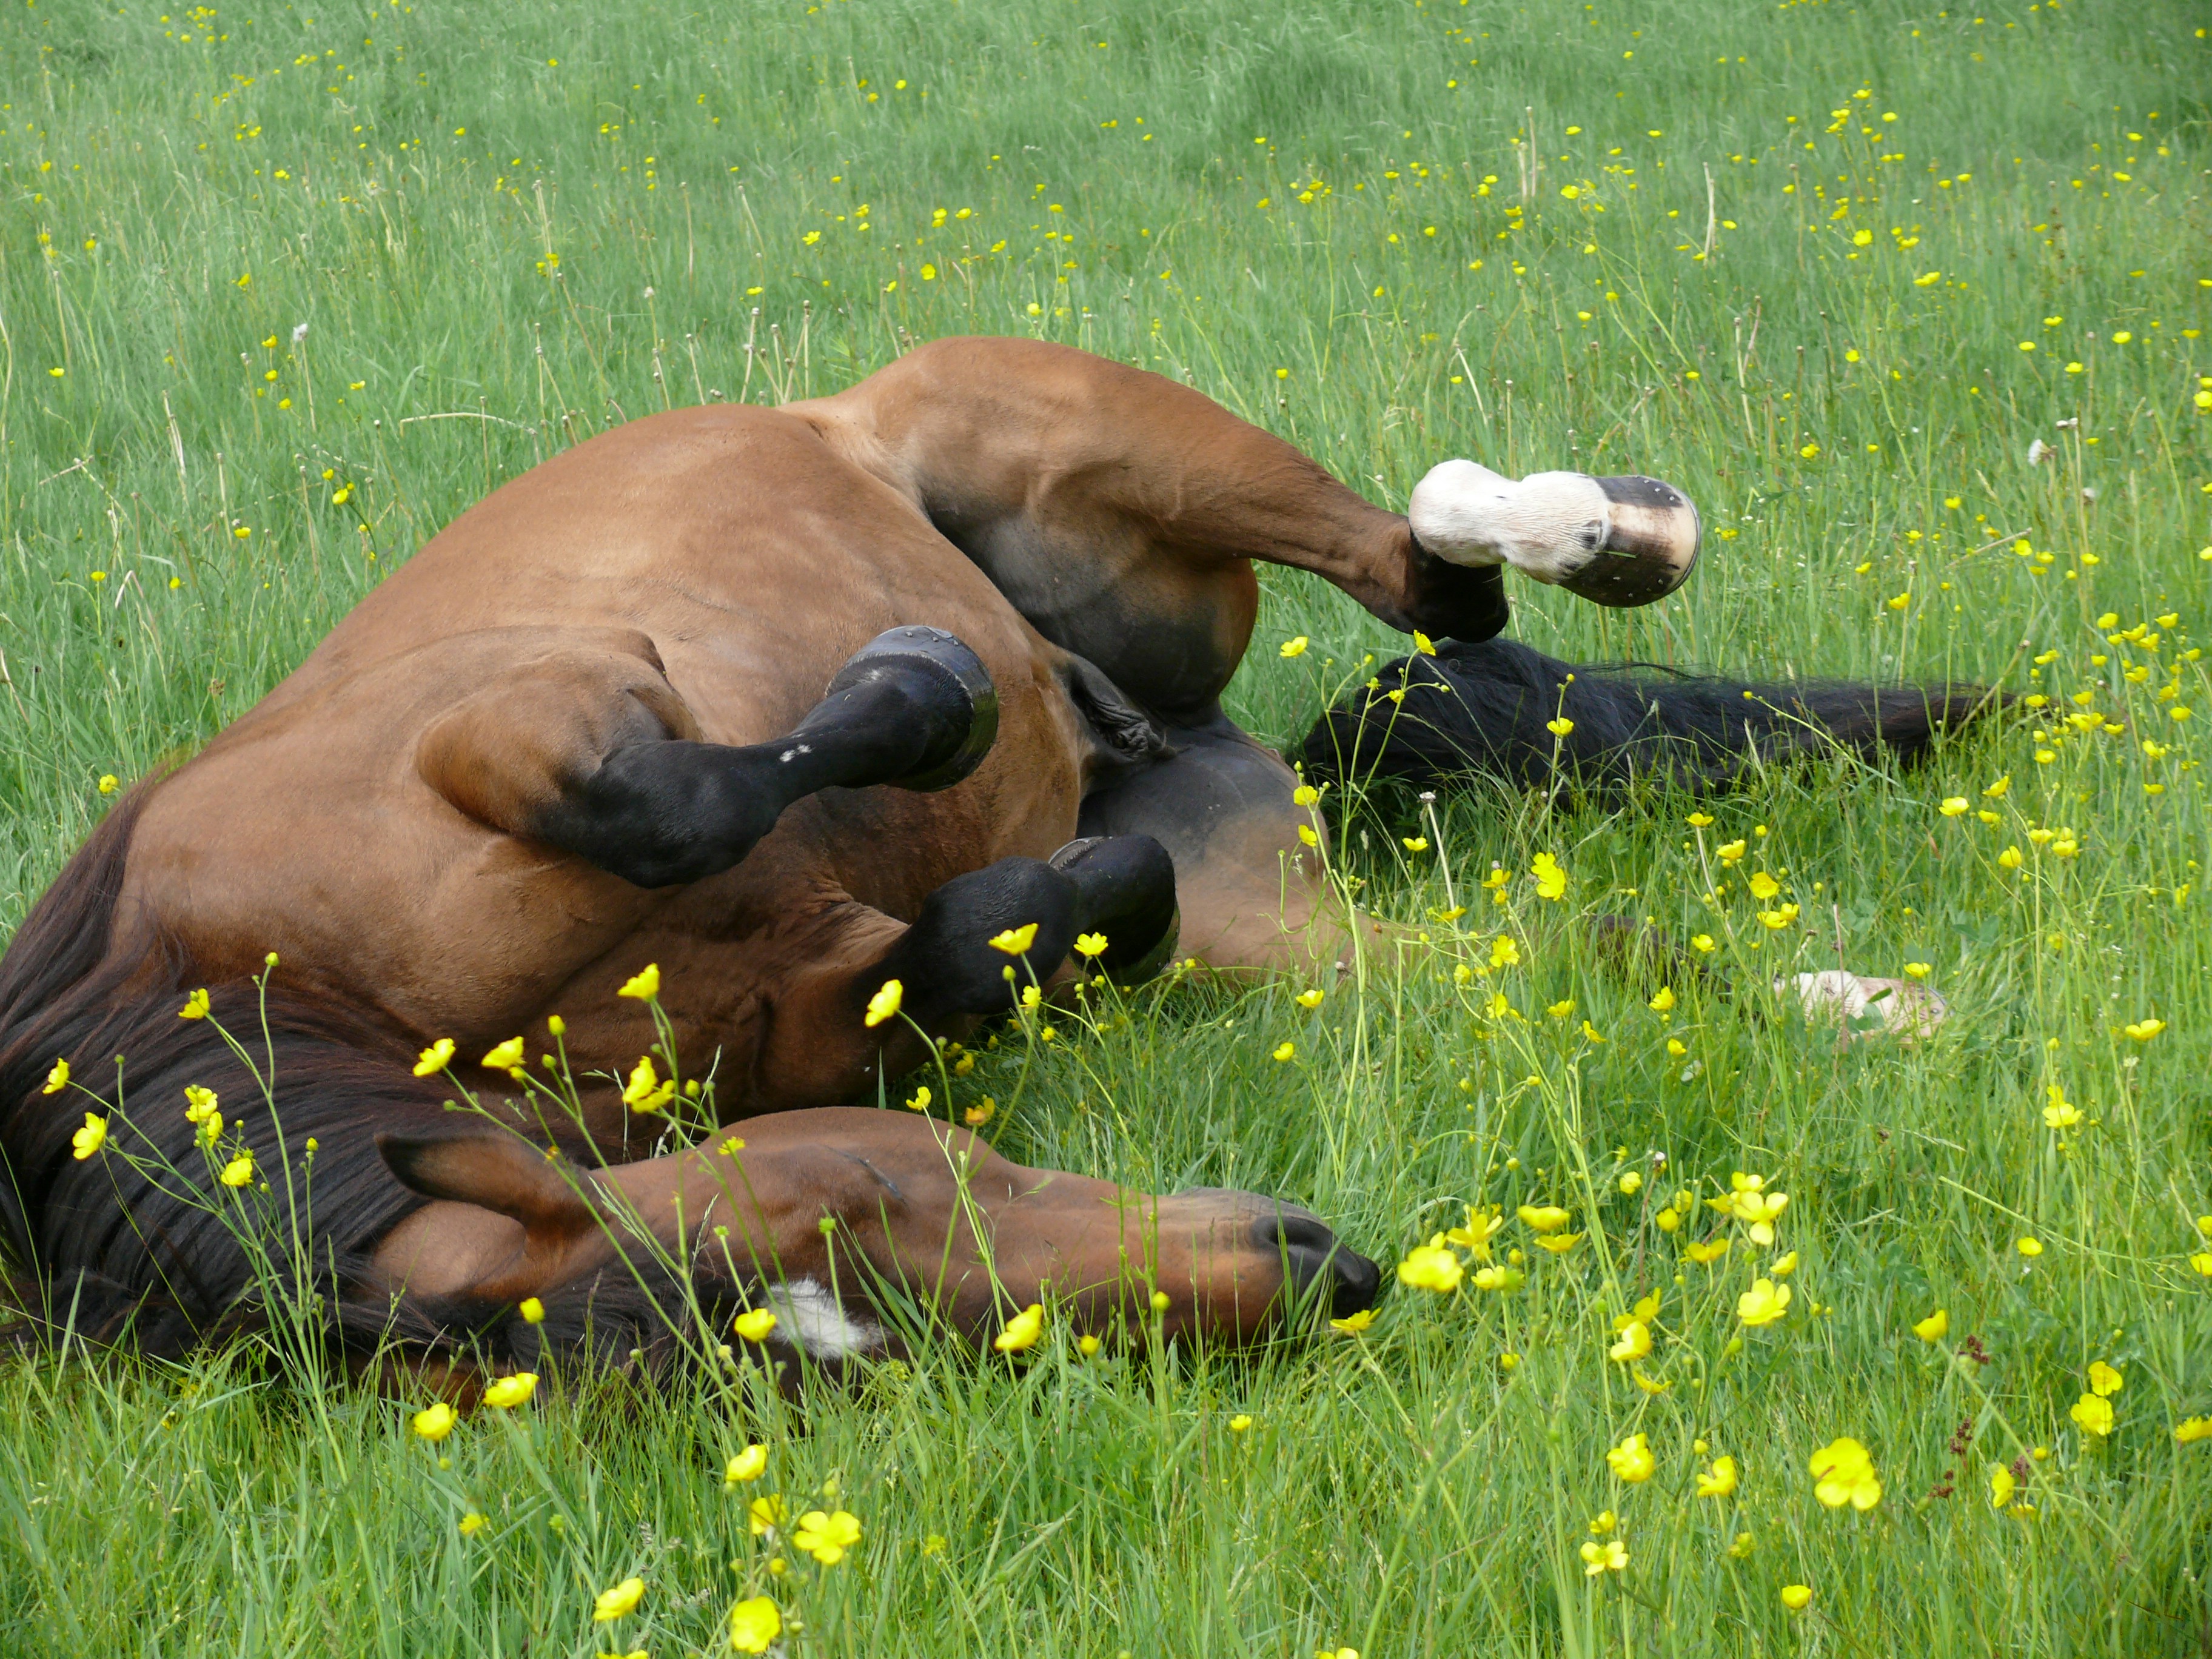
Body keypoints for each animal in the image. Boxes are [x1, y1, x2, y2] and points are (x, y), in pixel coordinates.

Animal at [0, 335, 1957, 1382]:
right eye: (841, 1366)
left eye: (854, 1206)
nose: (1316, 1275)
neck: (233, 987)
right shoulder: (815, 991)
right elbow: (959, 946)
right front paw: (1064, 919)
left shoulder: (534, 712)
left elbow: (670, 798)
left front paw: (922, 693)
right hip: (1281, 923)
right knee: (1603, 944)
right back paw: (1863, 1002)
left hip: (1056, 423)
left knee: (1425, 567)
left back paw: (1600, 527)